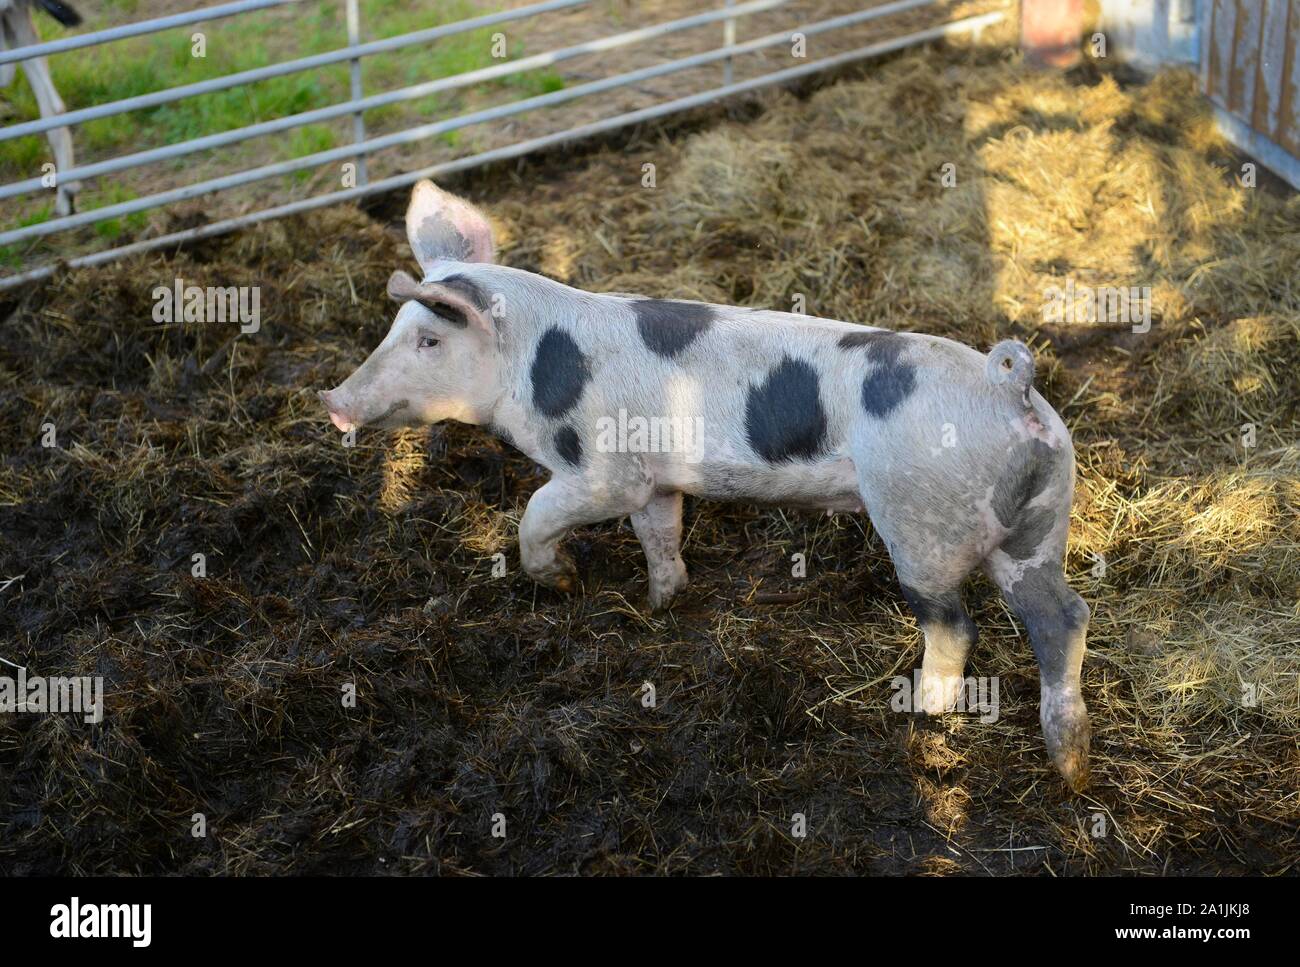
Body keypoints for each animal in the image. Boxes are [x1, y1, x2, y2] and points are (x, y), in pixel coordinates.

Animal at [319, 180, 1093, 790]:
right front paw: (662, 602)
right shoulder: (657, 478)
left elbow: (538, 511)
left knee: (956, 623)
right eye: (394, 329)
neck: (528, 364)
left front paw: (561, 581)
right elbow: (660, 532)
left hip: (921, 522)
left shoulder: (603, 470)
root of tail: (1011, 386)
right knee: (1064, 616)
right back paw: (1071, 764)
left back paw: (924, 714)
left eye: (429, 341)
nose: (333, 399)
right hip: (1039, 518)